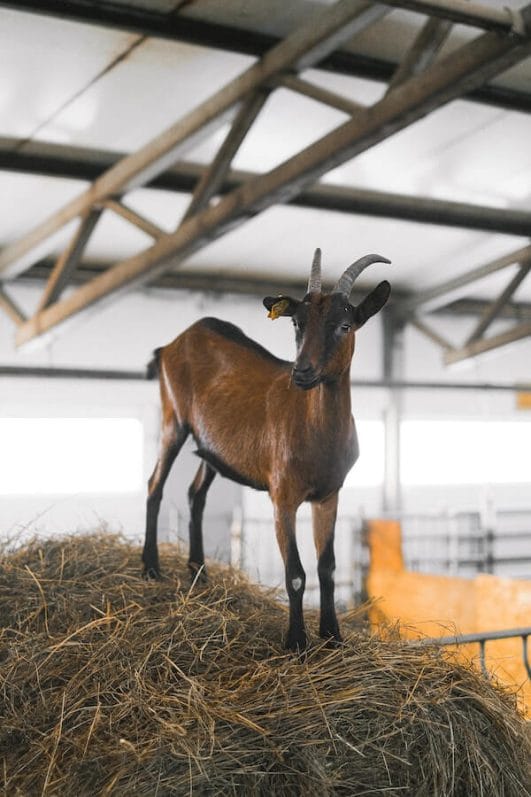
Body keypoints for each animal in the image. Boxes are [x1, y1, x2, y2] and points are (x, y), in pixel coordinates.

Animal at [144, 249, 390, 651]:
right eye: (297, 324)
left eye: (344, 325)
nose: (302, 373)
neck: (317, 433)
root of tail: (173, 344)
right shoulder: (283, 495)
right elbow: (296, 573)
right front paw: (297, 643)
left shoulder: (329, 494)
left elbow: (327, 567)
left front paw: (332, 636)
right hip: (173, 420)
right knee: (155, 484)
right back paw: (150, 568)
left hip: (212, 447)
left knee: (196, 494)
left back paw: (199, 574)